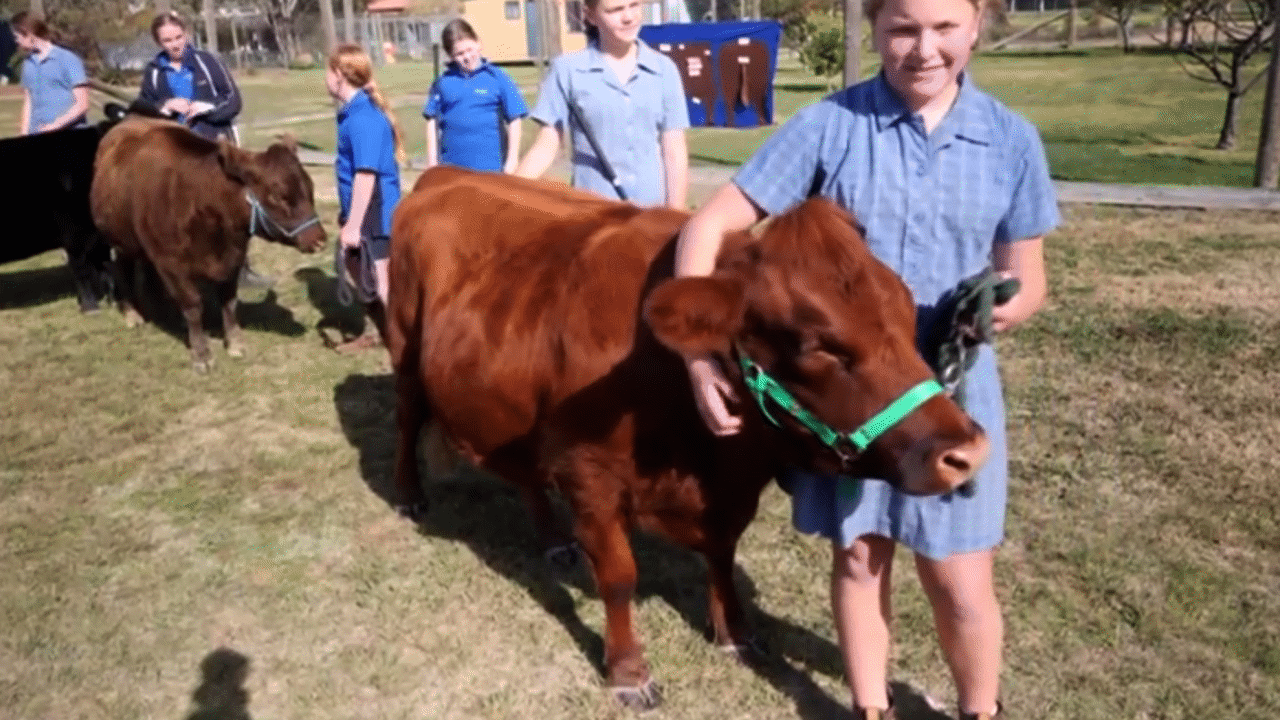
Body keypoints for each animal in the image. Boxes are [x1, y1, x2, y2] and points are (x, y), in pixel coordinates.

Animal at [90, 116, 326, 372]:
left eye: (310, 188)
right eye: (278, 195)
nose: (319, 239)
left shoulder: (233, 259)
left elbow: (229, 301)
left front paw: (235, 343)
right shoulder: (171, 263)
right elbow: (193, 306)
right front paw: (201, 354)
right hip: (120, 239)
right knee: (120, 267)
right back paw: (132, 313)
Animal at [386, 166, 990, 710]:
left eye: (907, 312)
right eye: (817, 346)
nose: (966, 451)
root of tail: (442, 176)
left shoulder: (726, 494)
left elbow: (722, 553)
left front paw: (735, 633)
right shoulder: (590, 476)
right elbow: (619, 577)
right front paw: (628, 671)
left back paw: (554, 541)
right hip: (406, 349)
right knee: (407, 420)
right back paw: (410, 496)